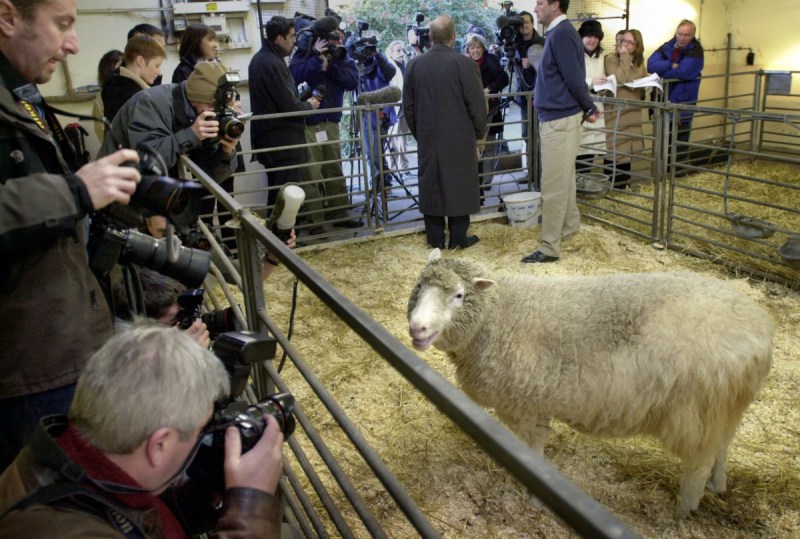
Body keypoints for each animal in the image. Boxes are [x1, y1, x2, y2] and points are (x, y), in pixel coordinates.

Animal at [407, 249, 774, 517]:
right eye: (419, 287)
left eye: (459, 295)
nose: (417, 328)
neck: (496, 319)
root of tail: (759, 331)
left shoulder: (525, 405)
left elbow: (533, 452)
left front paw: (536, 497)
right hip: (722, 407)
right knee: (722, 445)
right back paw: (719, 485)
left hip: (695, 410)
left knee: (698, 464)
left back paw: (683, 511)